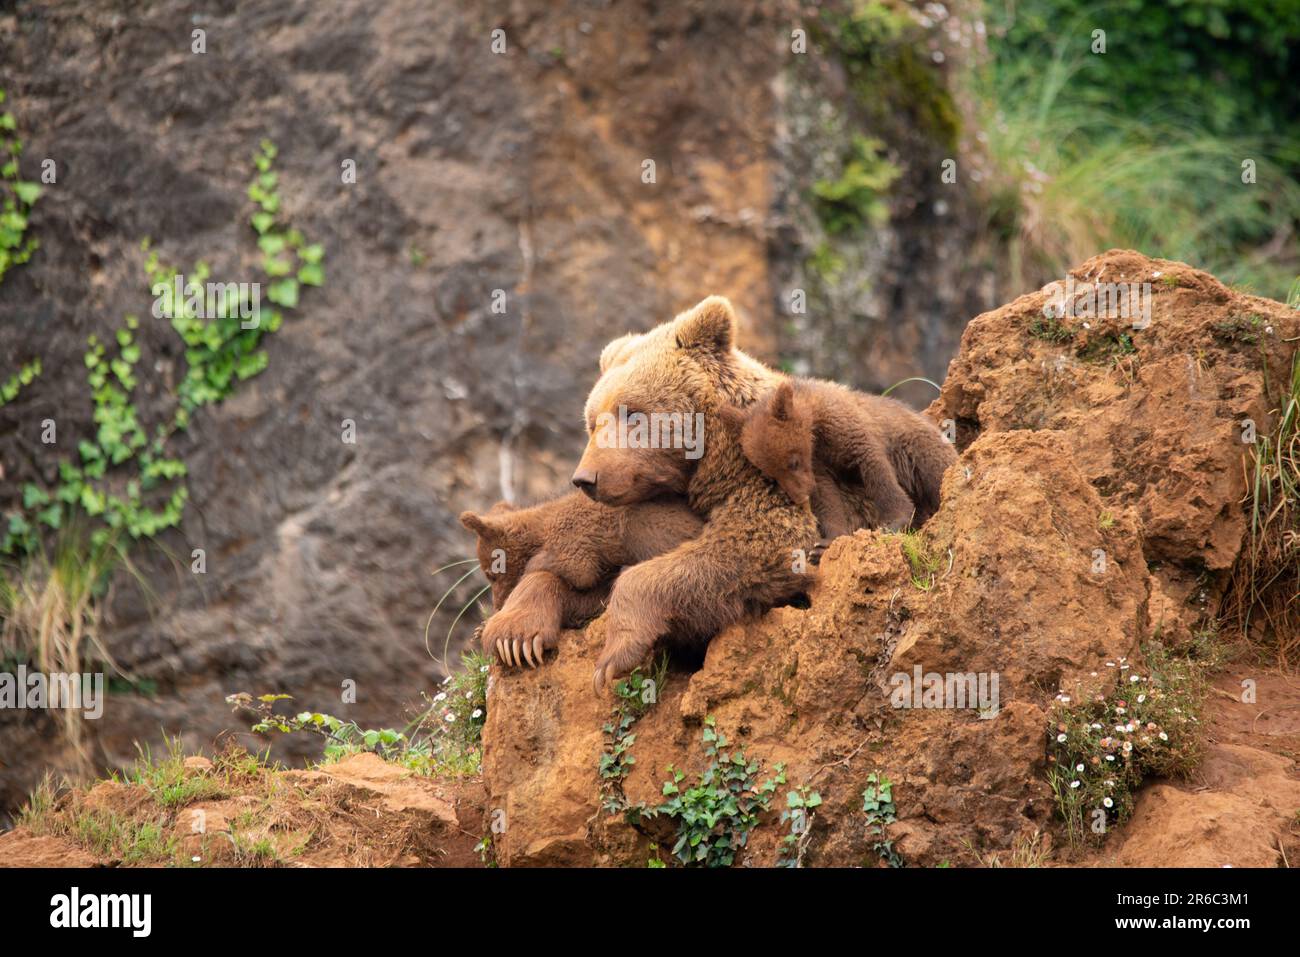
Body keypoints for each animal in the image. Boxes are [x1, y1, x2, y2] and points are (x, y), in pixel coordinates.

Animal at [459, 493, 704, 666]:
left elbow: (575, 577)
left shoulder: (575, 538)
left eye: (491, 575)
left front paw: (510, 639)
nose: (497, 605)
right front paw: (487, 630)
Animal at [723, 378, 957, 534]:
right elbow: (826, 494)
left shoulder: (846, 428)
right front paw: (826, 541)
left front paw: (895, 520)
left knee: (936, 473)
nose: (801, 497)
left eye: (792, 462)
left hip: (922, 449)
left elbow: (875, 469)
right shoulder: (818, 462)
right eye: (771, 475)